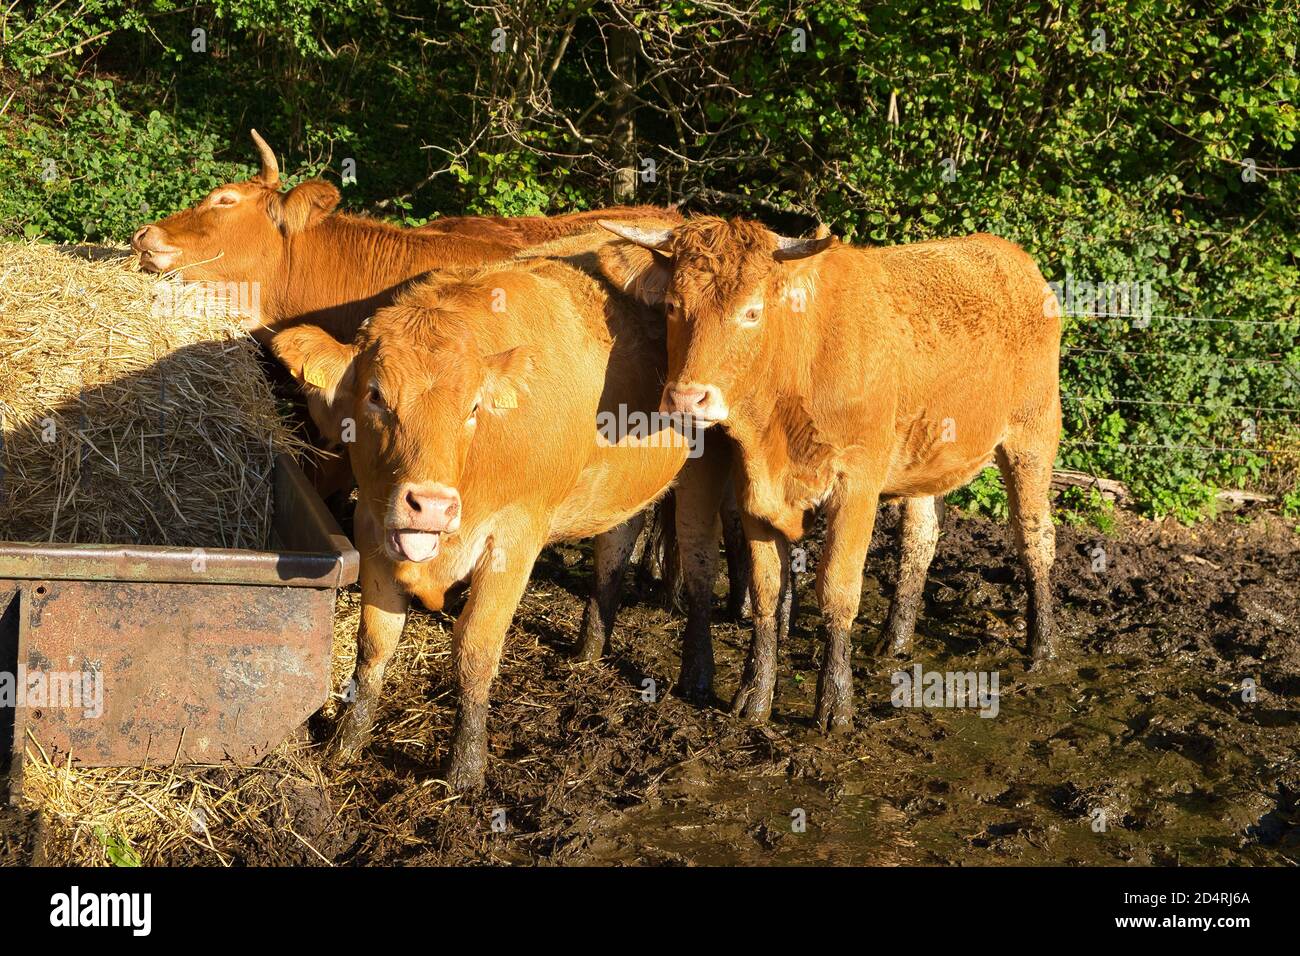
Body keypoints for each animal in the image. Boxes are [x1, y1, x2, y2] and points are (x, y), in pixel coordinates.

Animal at [270, 234, 710, 789]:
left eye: (474, 407)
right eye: (375, 396)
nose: (431, 505)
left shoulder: (515, 538)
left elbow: (476, 648)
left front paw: (466, 770)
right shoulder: (370, 526)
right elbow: (375, 643)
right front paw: (347, 742)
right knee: (617, 542)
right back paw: (589, 650)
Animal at [600, 216, 1062, 732]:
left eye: (752, 313)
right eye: (674, 307)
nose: (686, 399)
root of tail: (1009, 255)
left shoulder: (857, 485)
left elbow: (838, 588)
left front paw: (836, 702)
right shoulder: (755, 489)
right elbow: (766, 590)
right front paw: (755, 693)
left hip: (1032, 436)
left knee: (1035, 535)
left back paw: (1042, 646)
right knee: (921, 538)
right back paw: (895, 639)